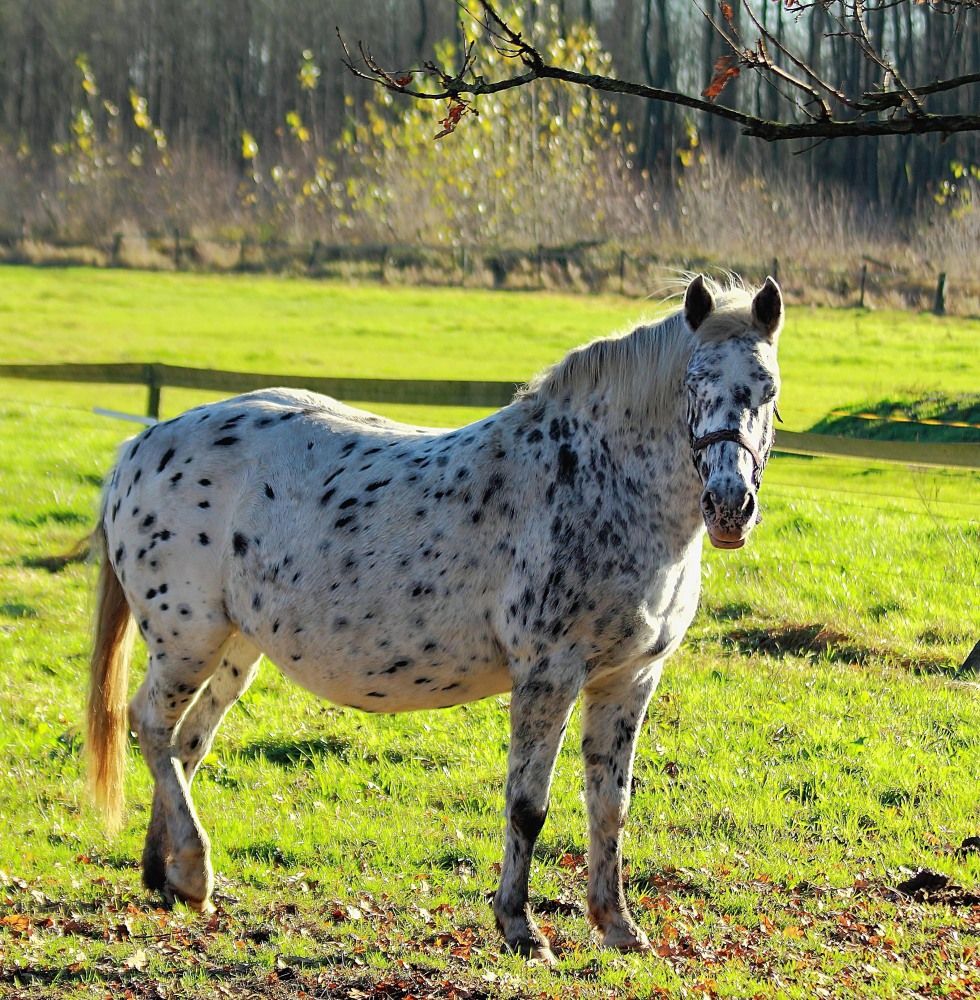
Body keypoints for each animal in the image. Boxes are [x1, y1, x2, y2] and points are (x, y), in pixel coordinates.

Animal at [87, 274, 784, 963]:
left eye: (769, 392)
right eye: (693, 384)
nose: (729, 506)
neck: (596, 481)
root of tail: (140, 447)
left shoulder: (628, 680)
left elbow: (610, 805)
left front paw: (618, 925)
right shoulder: (548, 676)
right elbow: (528, 806)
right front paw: (521, 929)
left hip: (236, 647)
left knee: (186, 742)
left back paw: (164, 874)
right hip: (187, 638)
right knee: (150, 724)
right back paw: (194, 872)